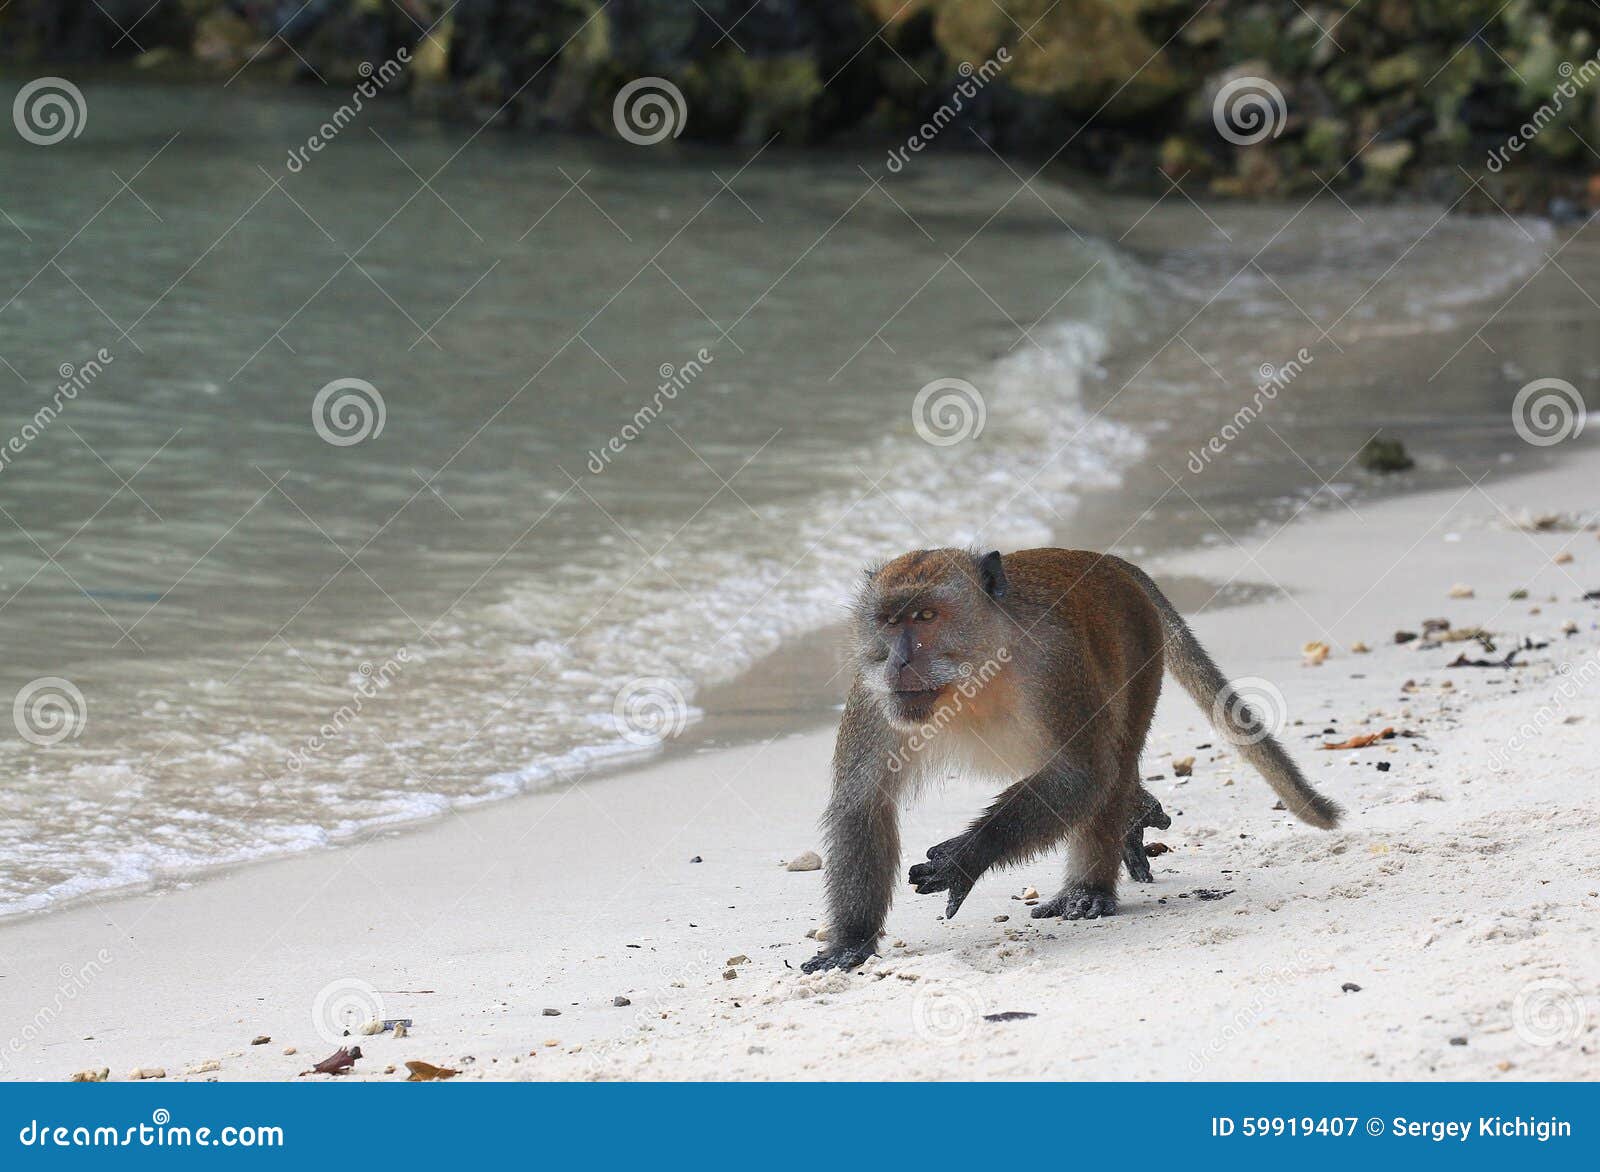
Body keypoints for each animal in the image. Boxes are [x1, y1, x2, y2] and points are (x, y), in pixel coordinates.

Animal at [801, 546, 1341, 972]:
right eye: (890, 622)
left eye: (927, 617)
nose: (899, 661)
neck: (975, 672)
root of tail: (1099, 559)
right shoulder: (874, 694)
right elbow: (862, 803)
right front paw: (851, 941)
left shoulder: (1055, 664)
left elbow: (1082, 775)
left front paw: (967, 856)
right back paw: (1137, 814)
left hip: (1140, 650)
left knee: (1112, 765)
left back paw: (1088, 888)